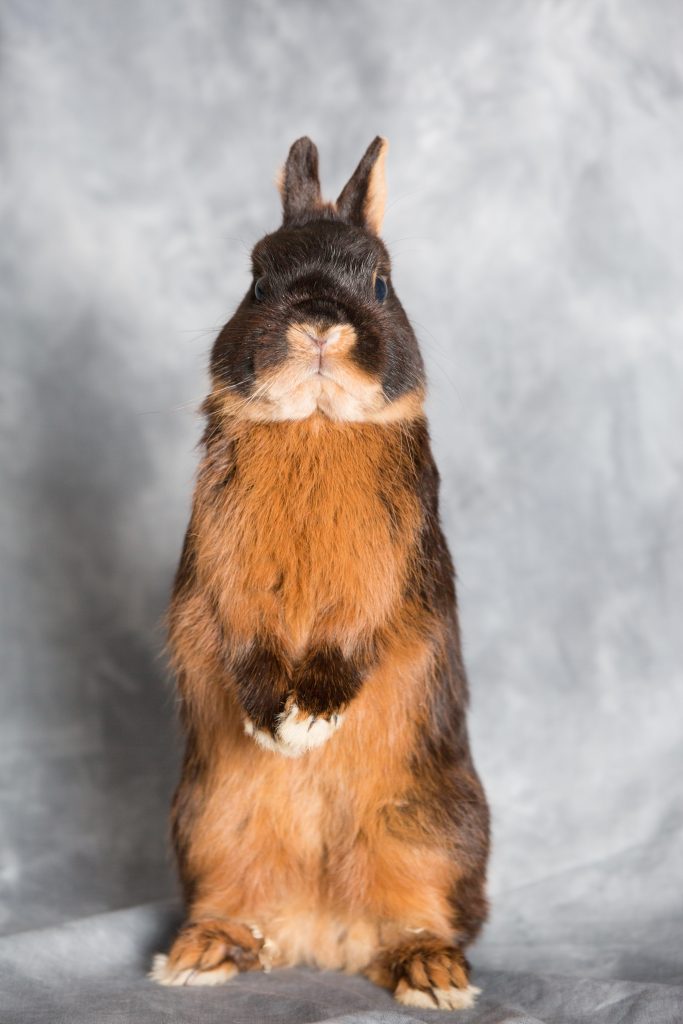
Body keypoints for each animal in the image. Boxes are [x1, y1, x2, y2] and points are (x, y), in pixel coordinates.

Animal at [150, 136, 490, 1012]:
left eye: (380, 282)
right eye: (256, 279)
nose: (316, 325)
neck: (315, 425)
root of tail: (324, 931)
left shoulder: (386, 581)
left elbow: (354, 640)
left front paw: (310, 722)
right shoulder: (223, 580)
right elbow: (243, 642)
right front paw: (279, 724)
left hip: (428, 829)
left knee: (418, 912)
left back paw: (430, 974)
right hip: (209, 824)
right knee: (236, 902)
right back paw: (201, 954)